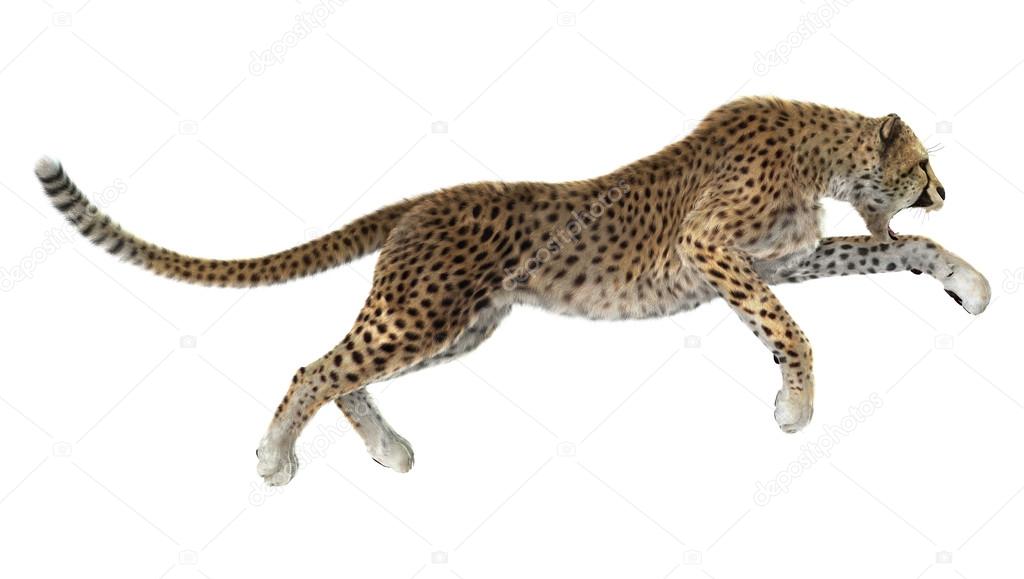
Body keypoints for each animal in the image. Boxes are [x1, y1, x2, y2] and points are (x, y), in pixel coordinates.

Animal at [35, 97, 991, 486]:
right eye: (923, 166)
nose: (946, 188)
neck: (823, 152)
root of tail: (426, 198)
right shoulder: (716, 250)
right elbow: (788, 327)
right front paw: (796, 406)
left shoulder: (777, 258)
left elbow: (893, 254)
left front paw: (969, 283)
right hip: (424, 315)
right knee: (317, 366)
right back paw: (274, 456)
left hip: (461, 326)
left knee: (345, 374)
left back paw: (386, 449)